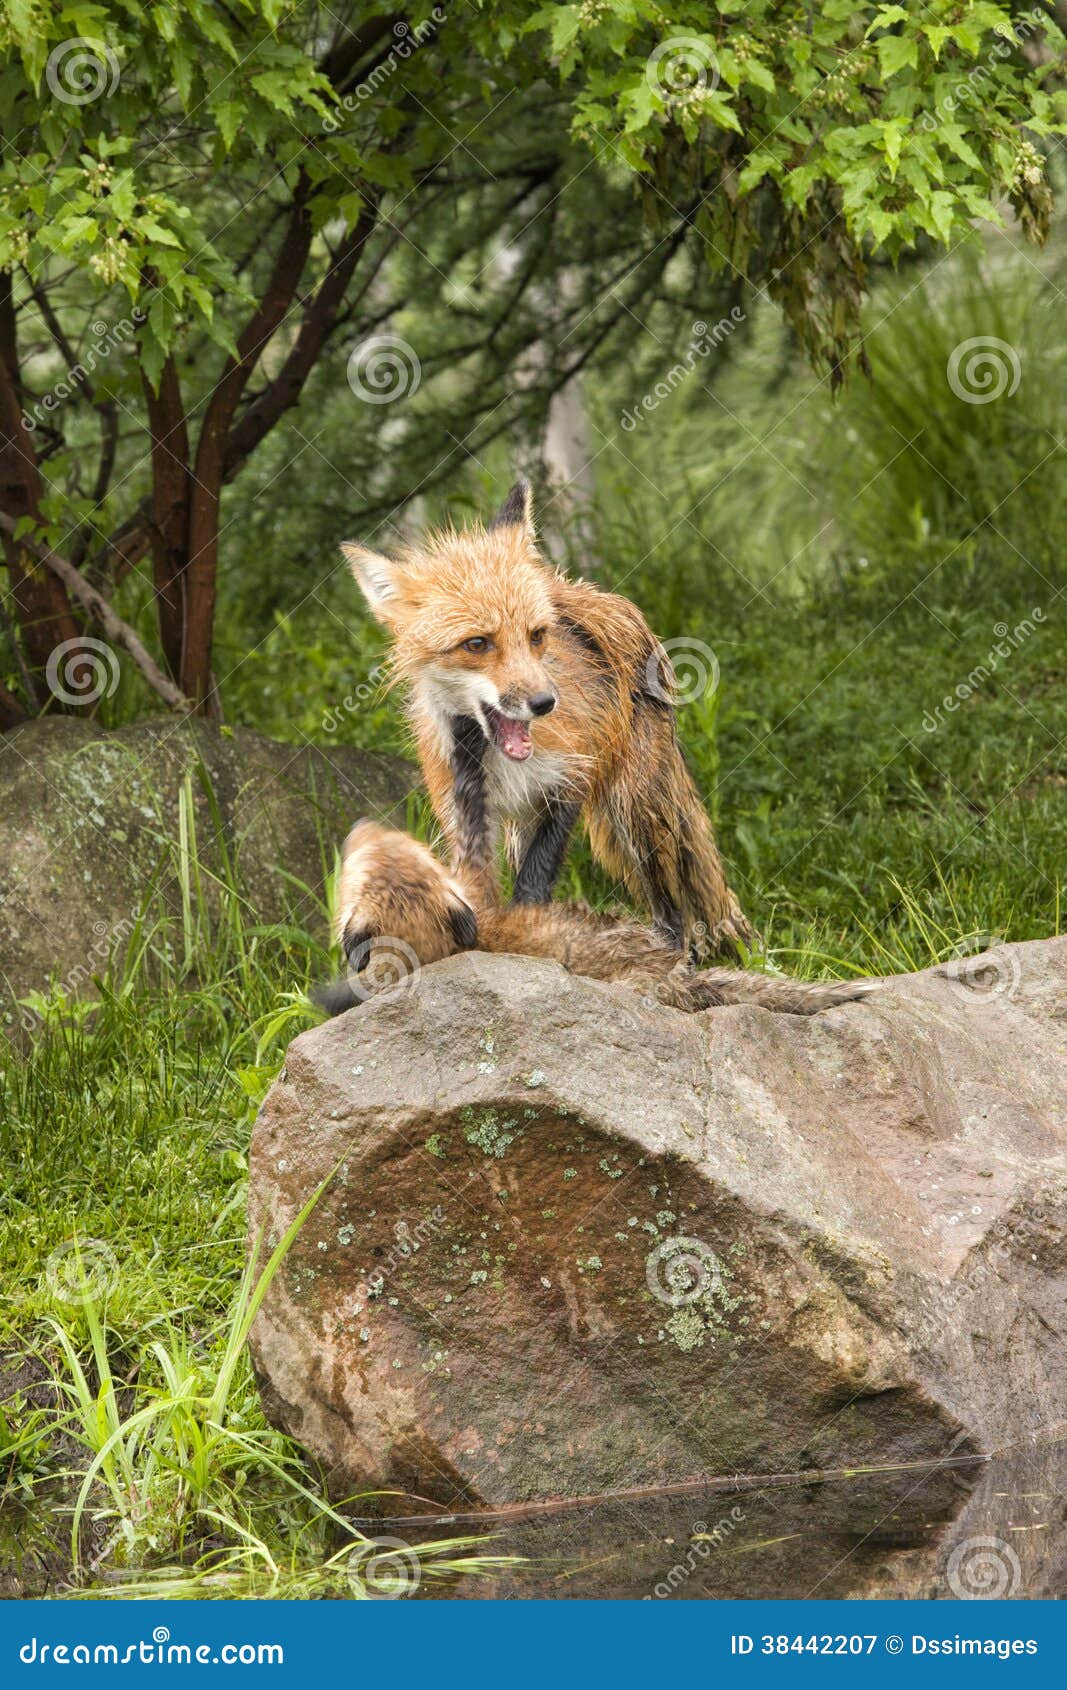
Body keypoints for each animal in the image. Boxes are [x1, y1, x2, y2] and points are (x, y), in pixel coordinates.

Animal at [342, 480, 752, 961]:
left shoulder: (572, 774)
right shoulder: (465, 811)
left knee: (667, 903)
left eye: (536, 636)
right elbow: (478, 894)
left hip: (638, 810)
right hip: (526, 827)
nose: (544, 703)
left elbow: (535, 882)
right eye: (477, 643)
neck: (495, 759)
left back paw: (676, 953)